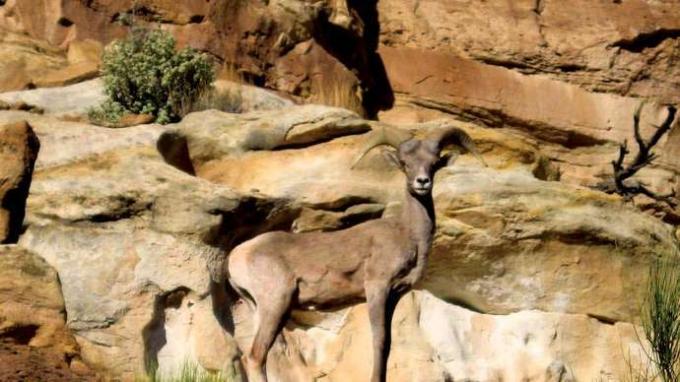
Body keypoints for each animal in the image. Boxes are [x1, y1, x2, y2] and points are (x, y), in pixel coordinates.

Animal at [226, 124, 486, 380]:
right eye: (405, 163)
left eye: (433, 163)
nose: (422, 182)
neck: (408, 234)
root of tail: (236, 256)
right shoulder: (377, 288)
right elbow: (379, 341)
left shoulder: (394, 295)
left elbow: (388, 345)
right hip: (275, 304)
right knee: (256, 356)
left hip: (262, 309)